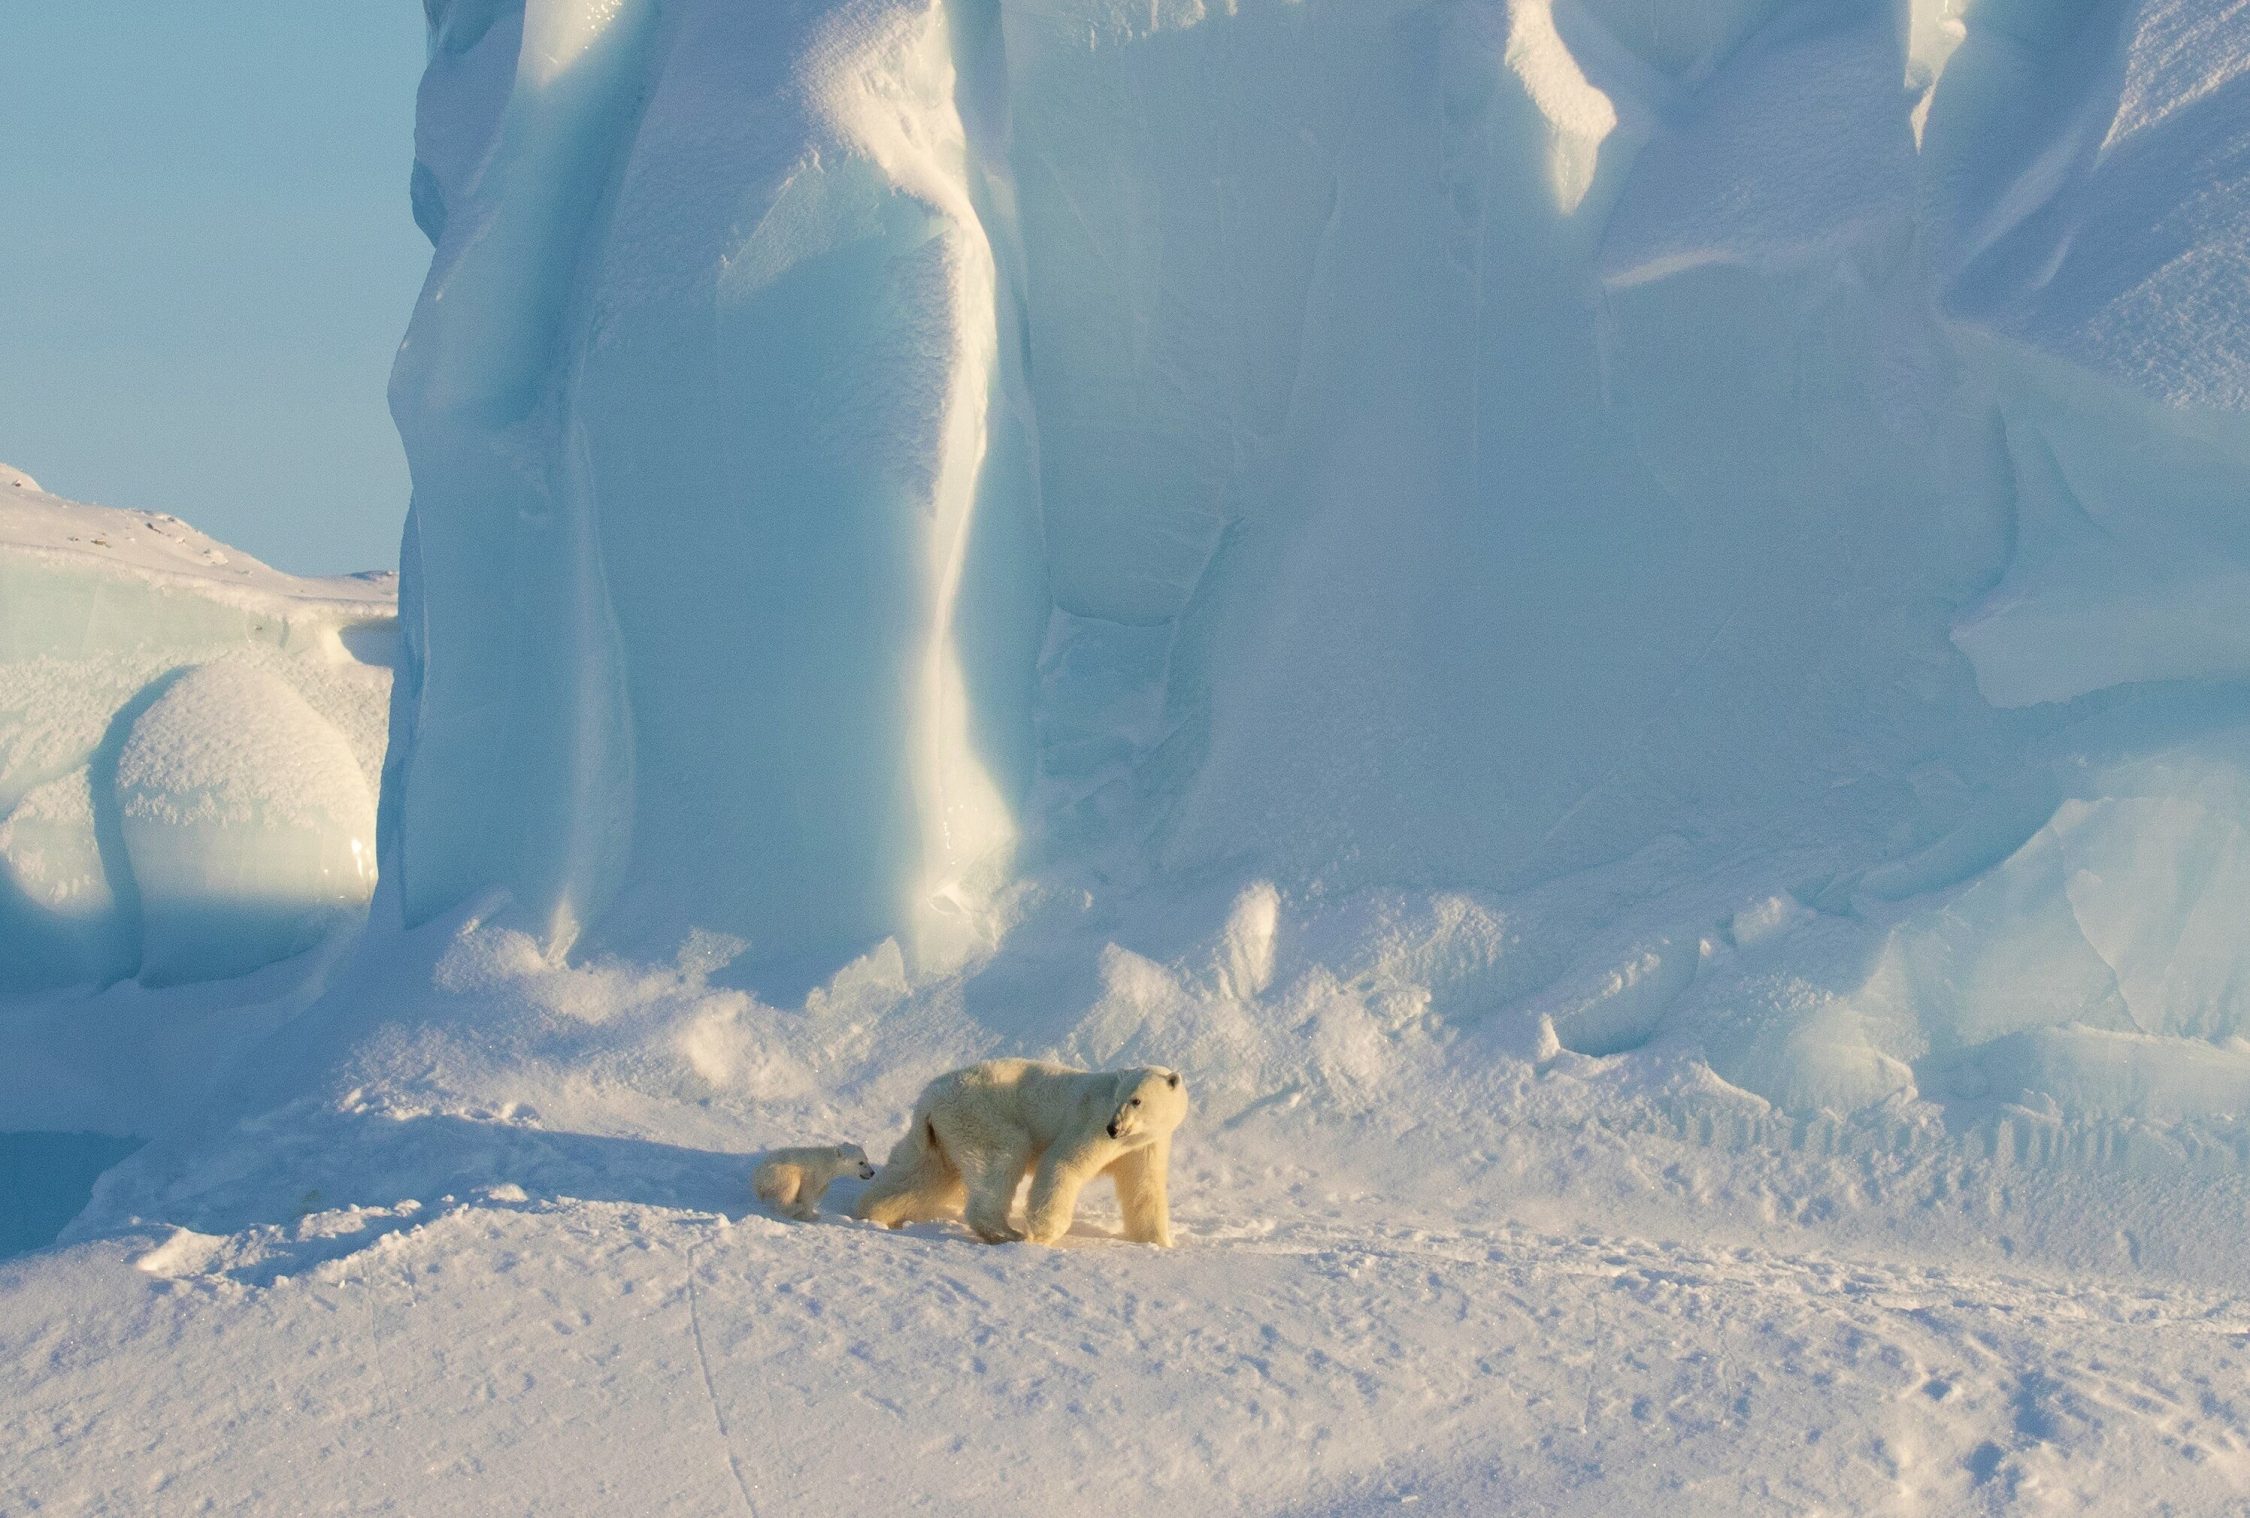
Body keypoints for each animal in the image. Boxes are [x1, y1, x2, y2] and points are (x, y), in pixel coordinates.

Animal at [855, 1059, 1187, 1246]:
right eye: (1117, 1098)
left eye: (1136, 1100)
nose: (1113, 1128)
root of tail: (928, 1099)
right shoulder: (1090, 1122)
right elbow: (1063, 1163)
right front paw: (1043, 1234)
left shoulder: (1145, 1145)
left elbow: (1144, 1188)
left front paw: (1159, 1242)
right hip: (981, 1116)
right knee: (1002, 1157)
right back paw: (1006, 1233)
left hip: (940, 1135)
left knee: (920, 1171)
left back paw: (875, 1211)